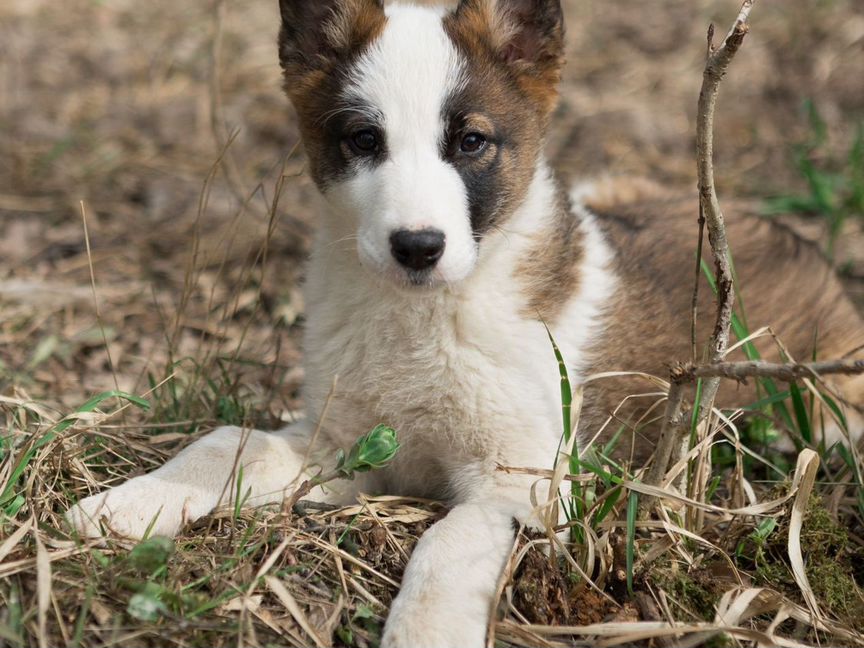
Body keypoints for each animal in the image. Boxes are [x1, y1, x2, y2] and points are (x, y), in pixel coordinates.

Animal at [67, 1, 864, 648]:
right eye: (363, 140)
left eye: (472, 142)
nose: (418, 247)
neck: (422, 314)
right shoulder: (338, 443)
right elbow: (224, 441)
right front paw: (128, 503)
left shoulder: (523, 486)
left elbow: (445, 543)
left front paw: (424, 631)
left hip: (828, 417)